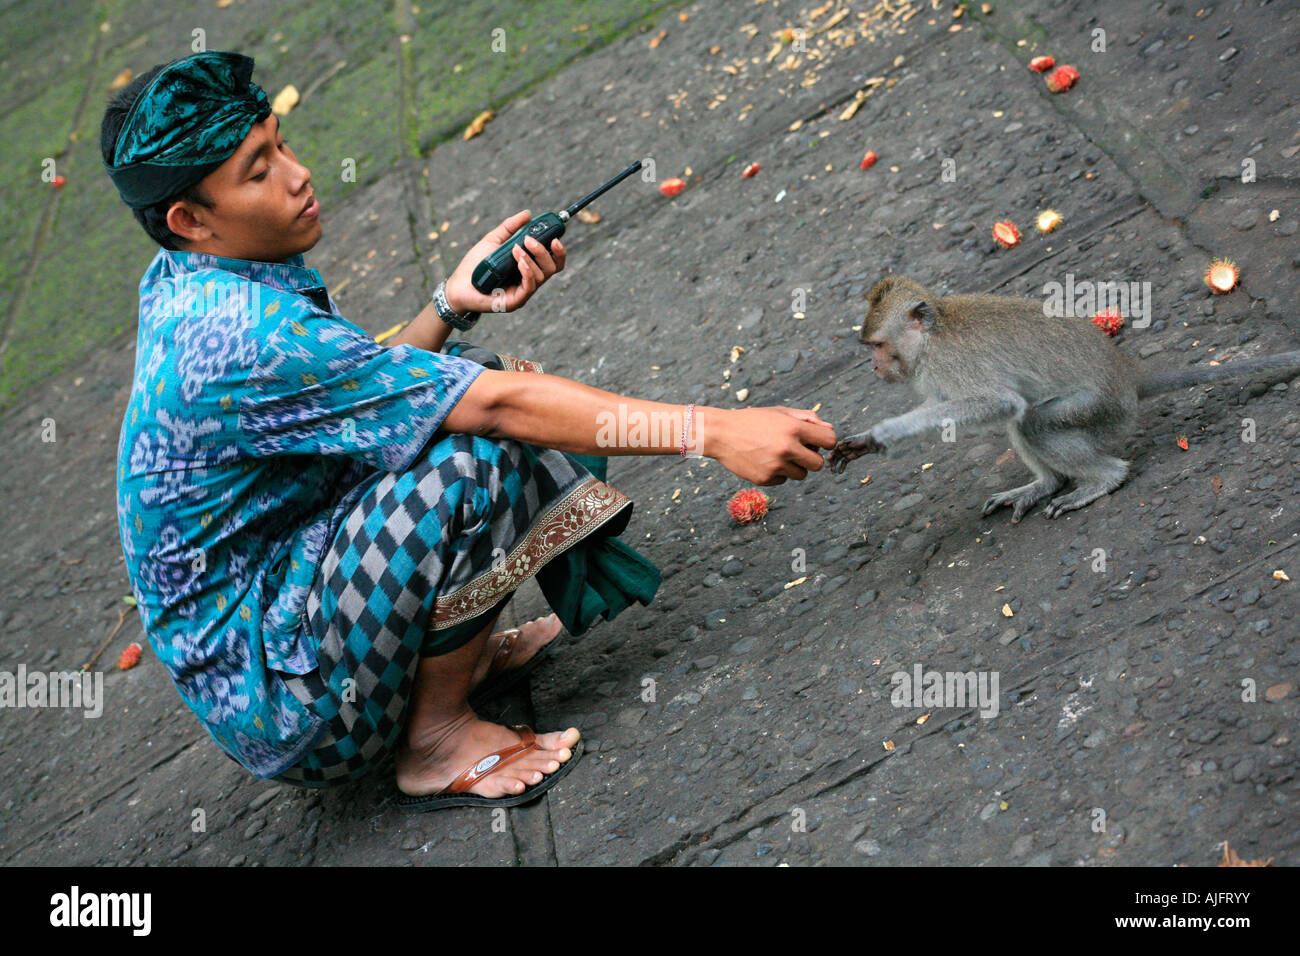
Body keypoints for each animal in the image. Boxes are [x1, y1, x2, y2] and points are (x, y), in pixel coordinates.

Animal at [828, 275, 1300, 521]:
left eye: (876, 345)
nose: (873, 367)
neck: (933, 333)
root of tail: (1128, 376)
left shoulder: (948, 363)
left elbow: (996, 403)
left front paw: (885, 433)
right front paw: (866, 438)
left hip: (1102, 408)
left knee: (1031, 420)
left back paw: (1104, 478)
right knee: (1023, 422)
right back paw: (1046, 484)